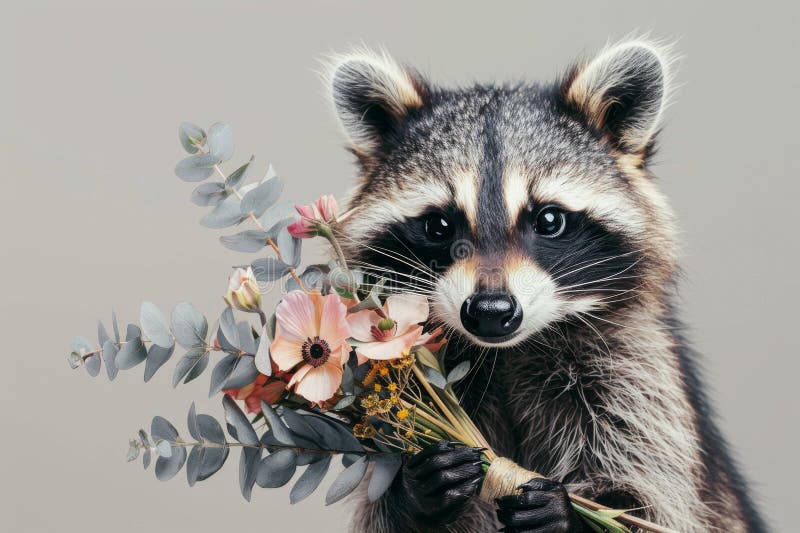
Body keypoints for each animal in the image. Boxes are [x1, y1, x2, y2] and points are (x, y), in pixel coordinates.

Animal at [327, 40, 767, 533]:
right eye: (439, 225)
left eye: (549, 220)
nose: (491, 312)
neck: (504, 354)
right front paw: (414, 494)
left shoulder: (636, 371)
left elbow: (657, 500)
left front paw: (573, 514)